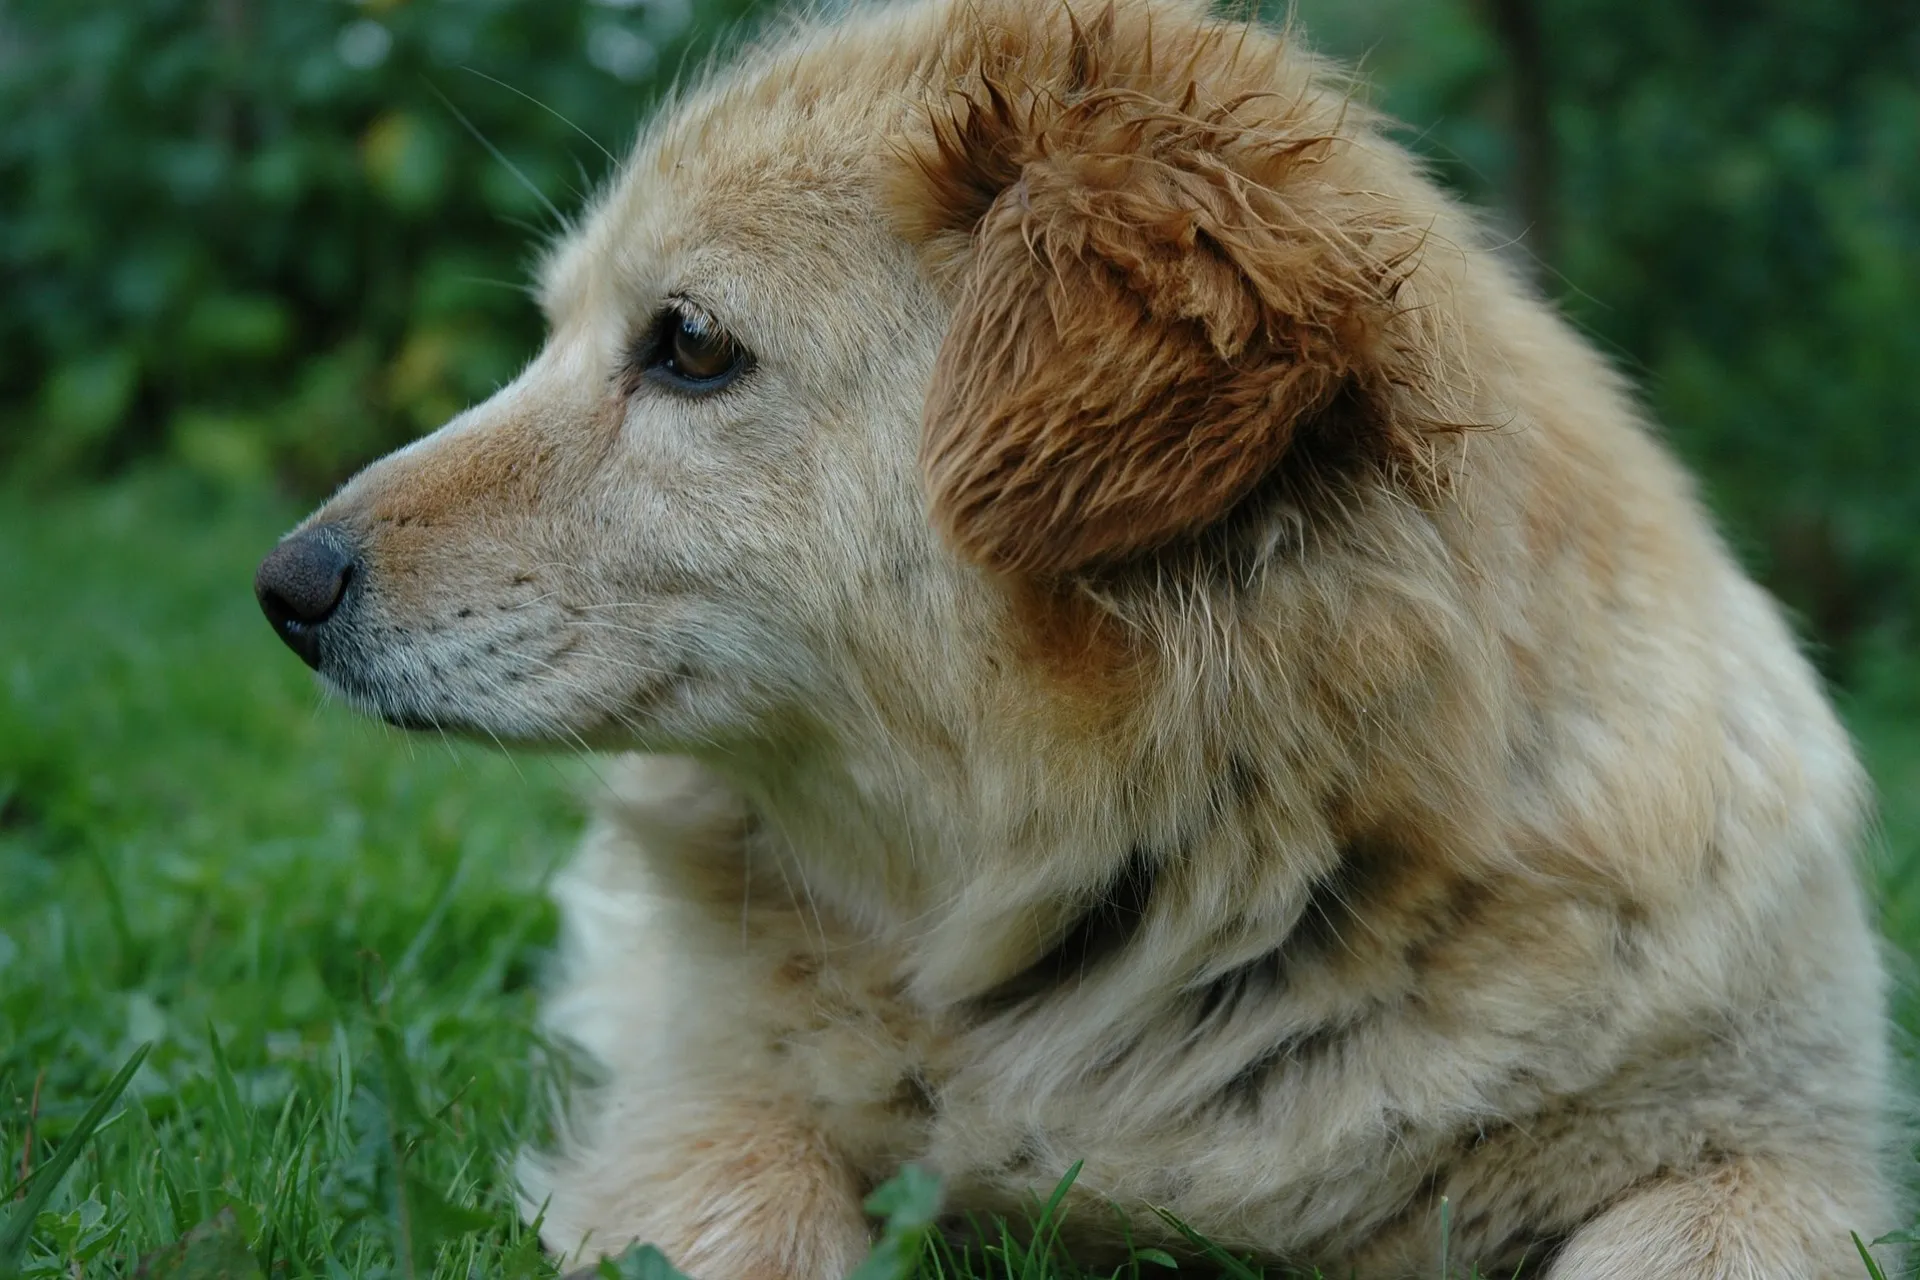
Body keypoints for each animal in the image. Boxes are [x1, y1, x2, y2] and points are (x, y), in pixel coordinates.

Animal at [259, 0, 1904, 1274]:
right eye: (555, 331)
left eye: (692, 346)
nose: (287, 587)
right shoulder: (707, 1099)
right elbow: (759, 1208)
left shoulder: (1775, 1152)